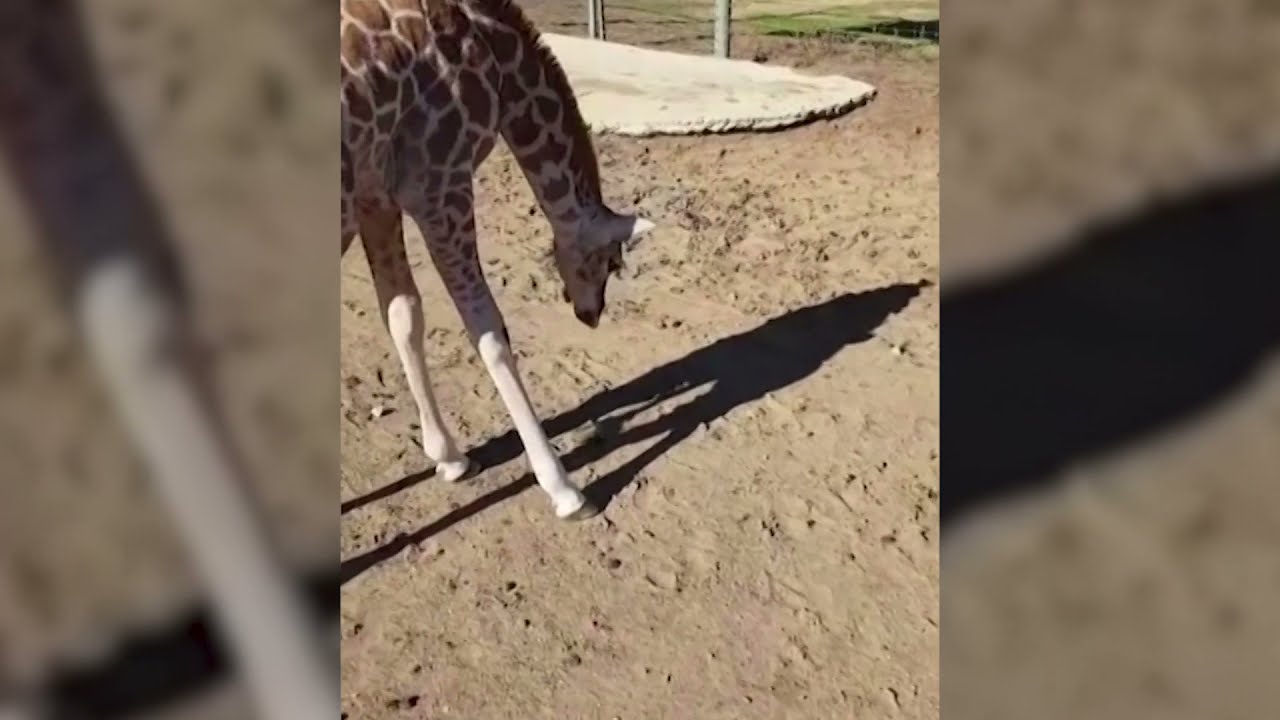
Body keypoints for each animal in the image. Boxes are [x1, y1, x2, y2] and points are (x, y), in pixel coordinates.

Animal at [340, 0, 655, 520]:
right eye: (612, 263)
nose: (590, 314)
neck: (501, 61)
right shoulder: (440, 183)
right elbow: (490, 333)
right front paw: (565, 489)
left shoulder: (377, 197)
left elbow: (402, 315)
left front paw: (449, 458)